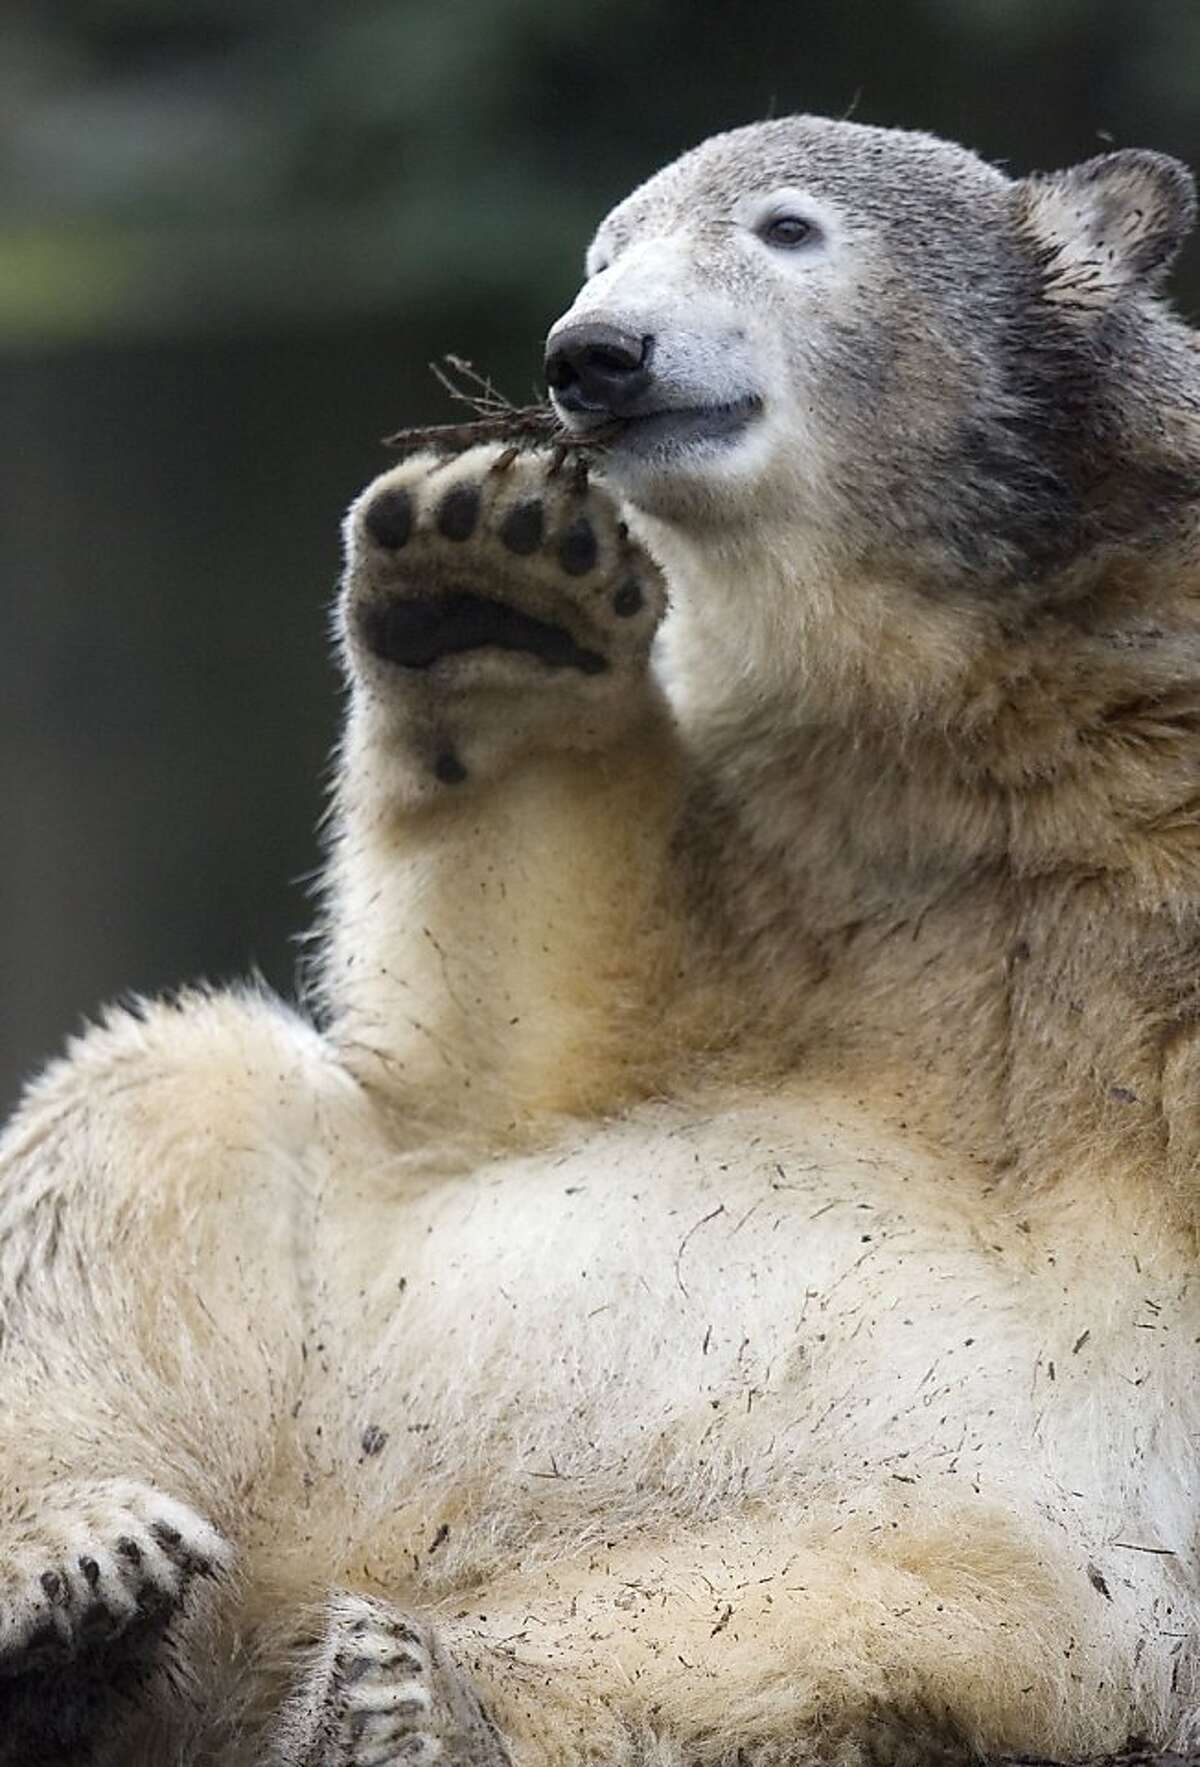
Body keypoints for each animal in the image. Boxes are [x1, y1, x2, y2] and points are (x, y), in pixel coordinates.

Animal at [2, 112, 1200, 1767]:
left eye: (785, 227)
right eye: (604, 248)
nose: (597, 355)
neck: (978, 723)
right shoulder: (780, 847)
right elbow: (522, 1035)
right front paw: (492, 576)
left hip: (975, 1591)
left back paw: (408, 1693)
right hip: (341, 1339)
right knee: (158, 1127)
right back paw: (93, 1572)